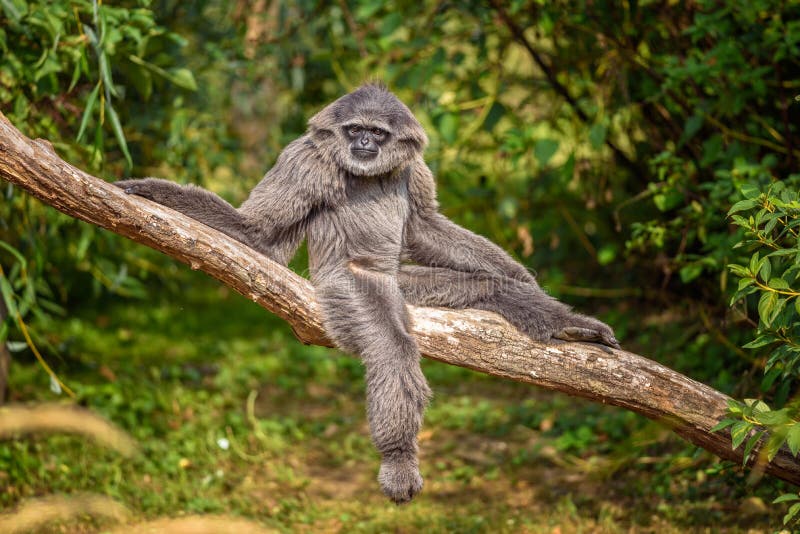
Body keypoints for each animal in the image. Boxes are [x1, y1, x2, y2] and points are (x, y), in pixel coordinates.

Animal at [115, 83, 618, 504]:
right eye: (355, 130)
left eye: (377, 132)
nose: (364, 146)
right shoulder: (304, 158)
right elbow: (256, 233)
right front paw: (152, 191)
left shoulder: (413, 167)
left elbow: (425, 226)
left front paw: (523, 276)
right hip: (349, 287)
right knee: (391, 344)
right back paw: (399, 460)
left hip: (410, 284)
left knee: (487, 287)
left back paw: (569, 325)